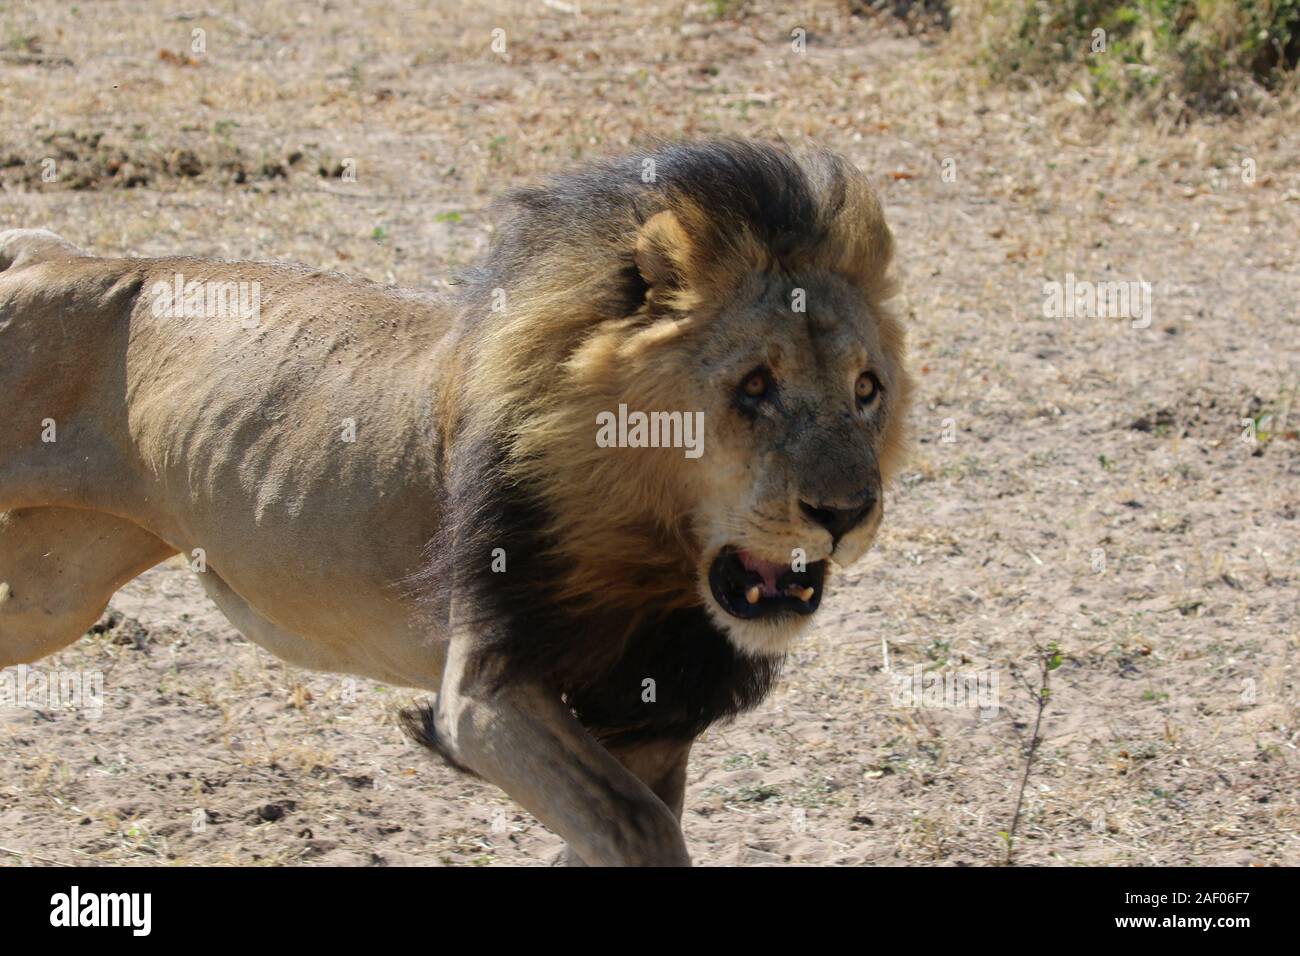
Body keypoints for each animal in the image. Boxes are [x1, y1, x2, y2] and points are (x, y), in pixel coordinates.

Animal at [0, 140, 912, 866]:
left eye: (867, 390)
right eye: (754, 386)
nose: (847, 513)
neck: (654, 555)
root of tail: (46, 254)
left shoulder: (654, 723)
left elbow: (620, 831)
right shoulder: (486, 691)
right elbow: (643, 829)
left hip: (53, 593)